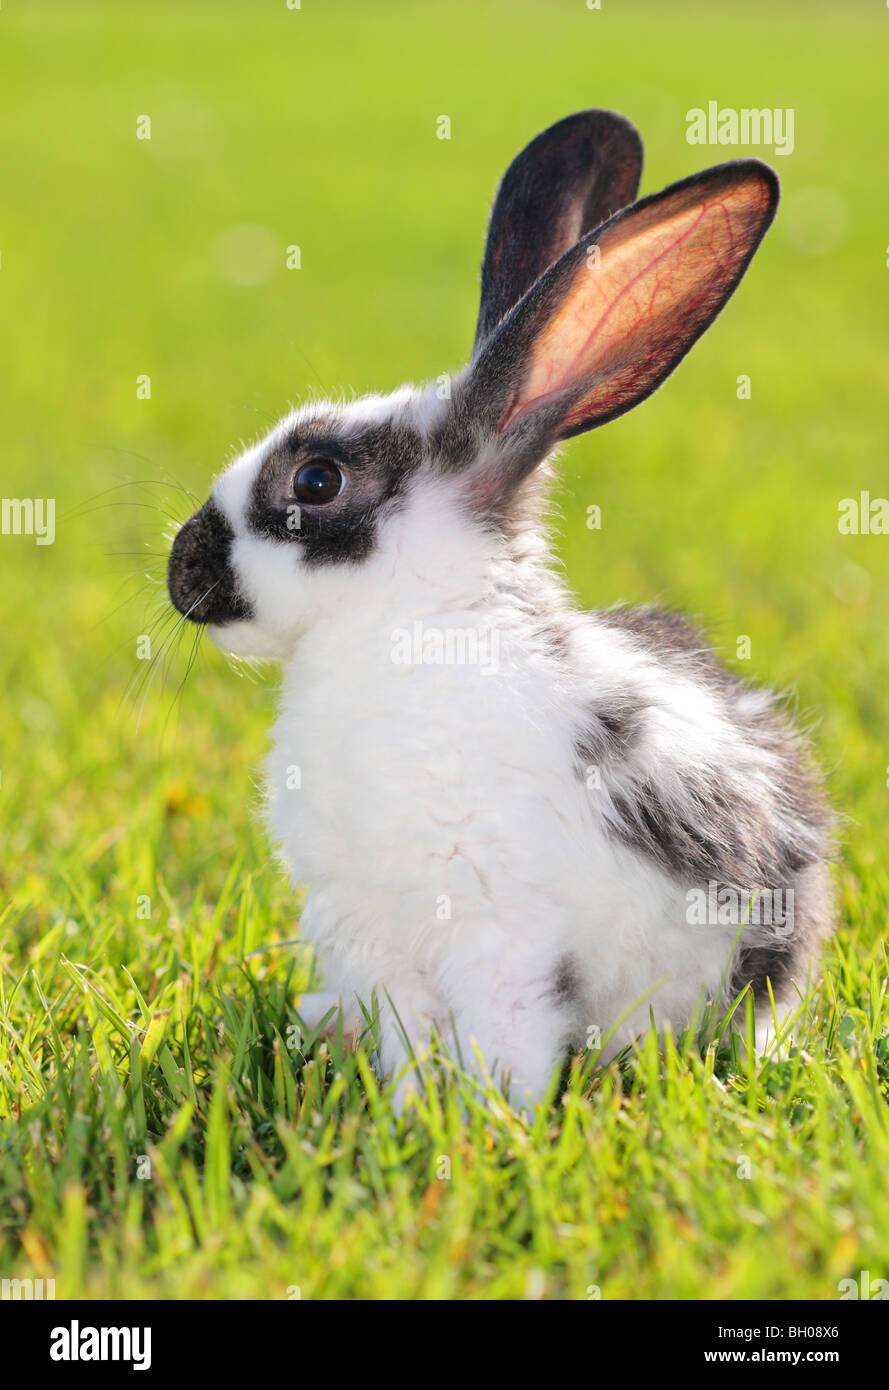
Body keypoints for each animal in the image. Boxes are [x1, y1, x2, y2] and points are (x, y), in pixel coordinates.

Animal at [167, 110, 832, 1110]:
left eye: (315, 482)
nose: (182, 578)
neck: (405, 627)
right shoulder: (376, 930)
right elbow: (409, 1035)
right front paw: (410, 1114)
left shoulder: (495, 921)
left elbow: (502, 1034)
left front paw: (484, 1122)